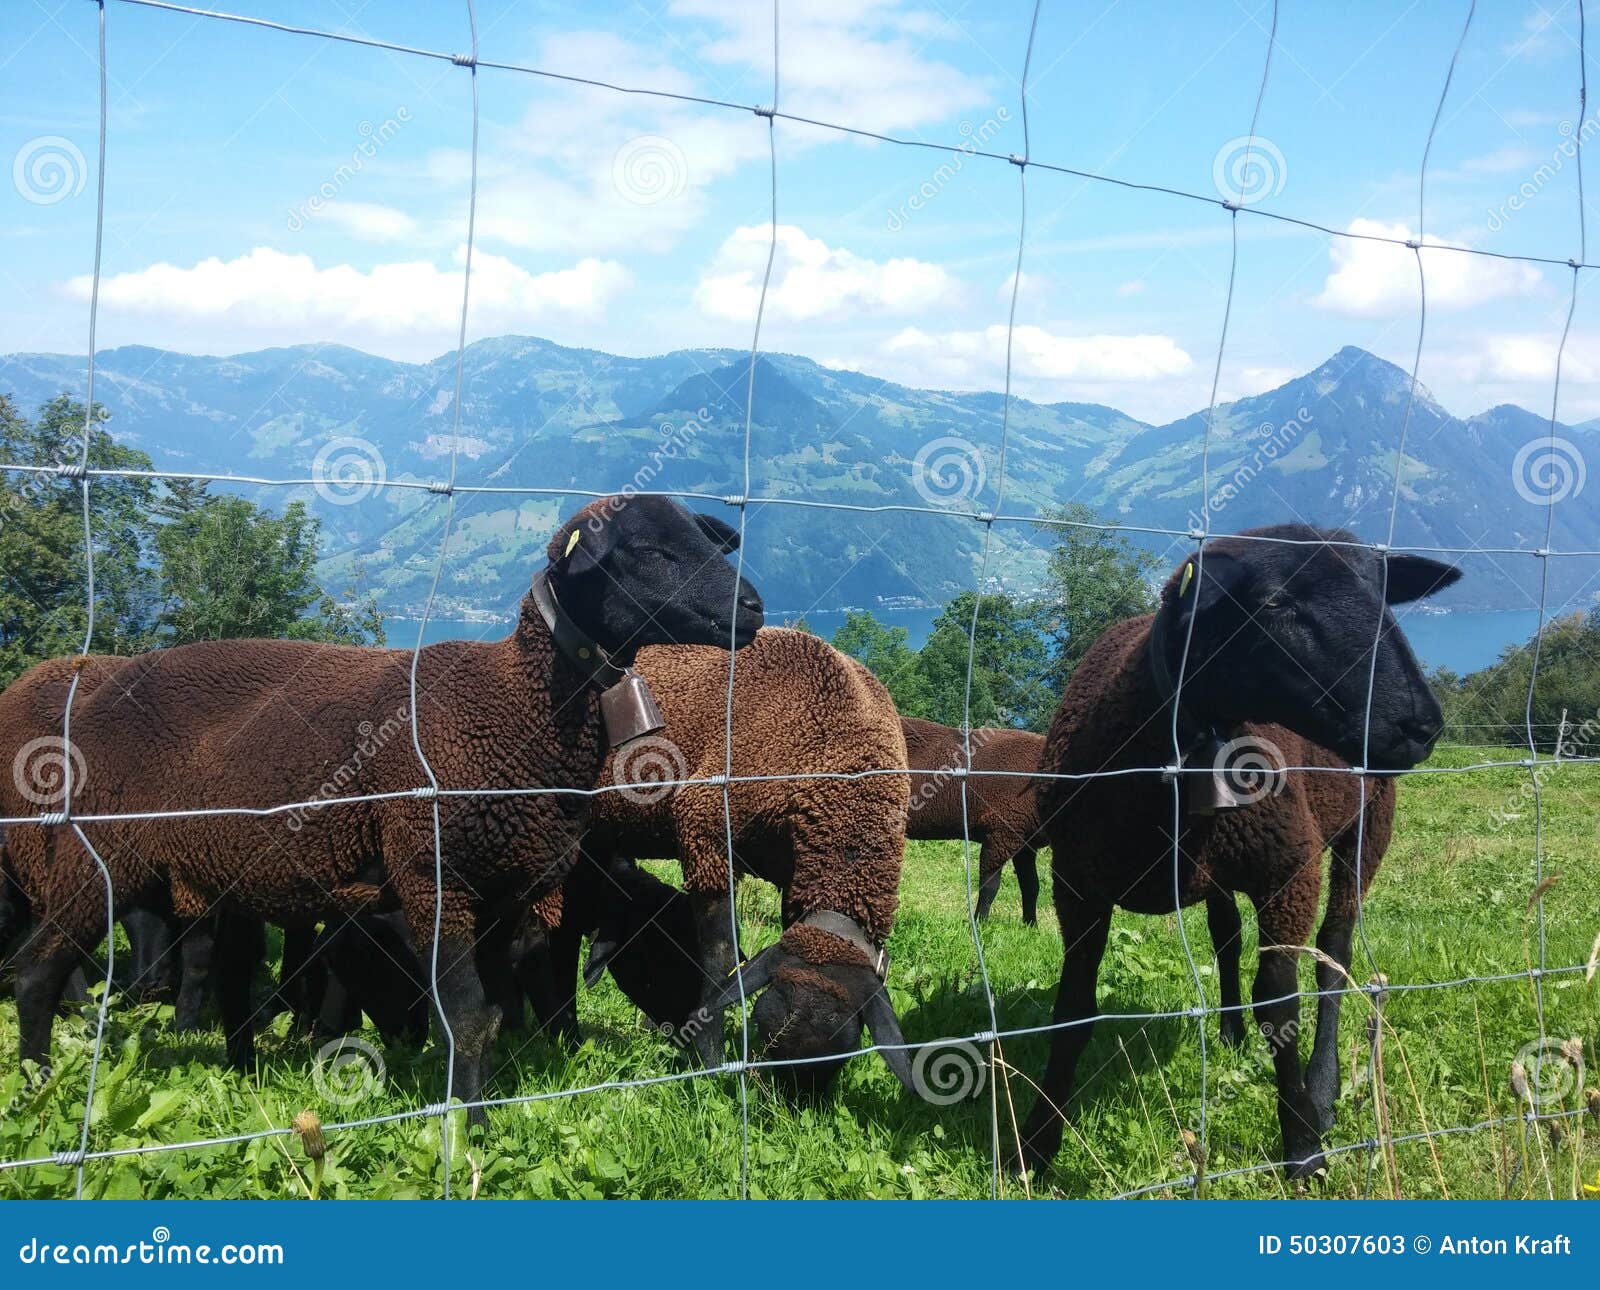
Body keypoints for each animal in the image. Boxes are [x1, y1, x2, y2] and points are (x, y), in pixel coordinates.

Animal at [0, 494, 763, 1119]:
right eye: (649, 552)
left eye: (703, 539)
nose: (753, 608)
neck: (517, 705)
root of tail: (97, 694)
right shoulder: (434, 876)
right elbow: (466, 1018)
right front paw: (467, 1131)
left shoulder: (502, 889)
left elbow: (490, 1014)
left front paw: (484, 1109)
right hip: (101, 853)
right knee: (37, 970)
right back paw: (40, 1092)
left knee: (223, 971)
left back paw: (236, 1070)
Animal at [567, 627, 918, 1093]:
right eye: (766, 1030)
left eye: (839, 1054)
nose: (779, 1104)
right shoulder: (706, 835)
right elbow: (718, 964)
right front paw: (711, 1061)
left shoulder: (796, 875)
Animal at [901, 717, 1046, 924]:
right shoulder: (1001, 833)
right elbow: (990, 887)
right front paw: (979, 923)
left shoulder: (1025, 840)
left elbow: (1031, 886)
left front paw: (1031, 925)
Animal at [1016, 524, 1459, 1180]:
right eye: (1273, 602)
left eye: (1384, 593)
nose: (1420, 725)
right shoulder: (1078, 882)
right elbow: (1073, 1007)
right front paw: (1036, 1145)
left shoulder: (1289, 870)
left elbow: (1280, 1004)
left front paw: (1302, 1146)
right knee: (1226, 934)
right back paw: (1228, 1033)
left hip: (1368, 824)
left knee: (1334, 950)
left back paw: (1321, 1089)